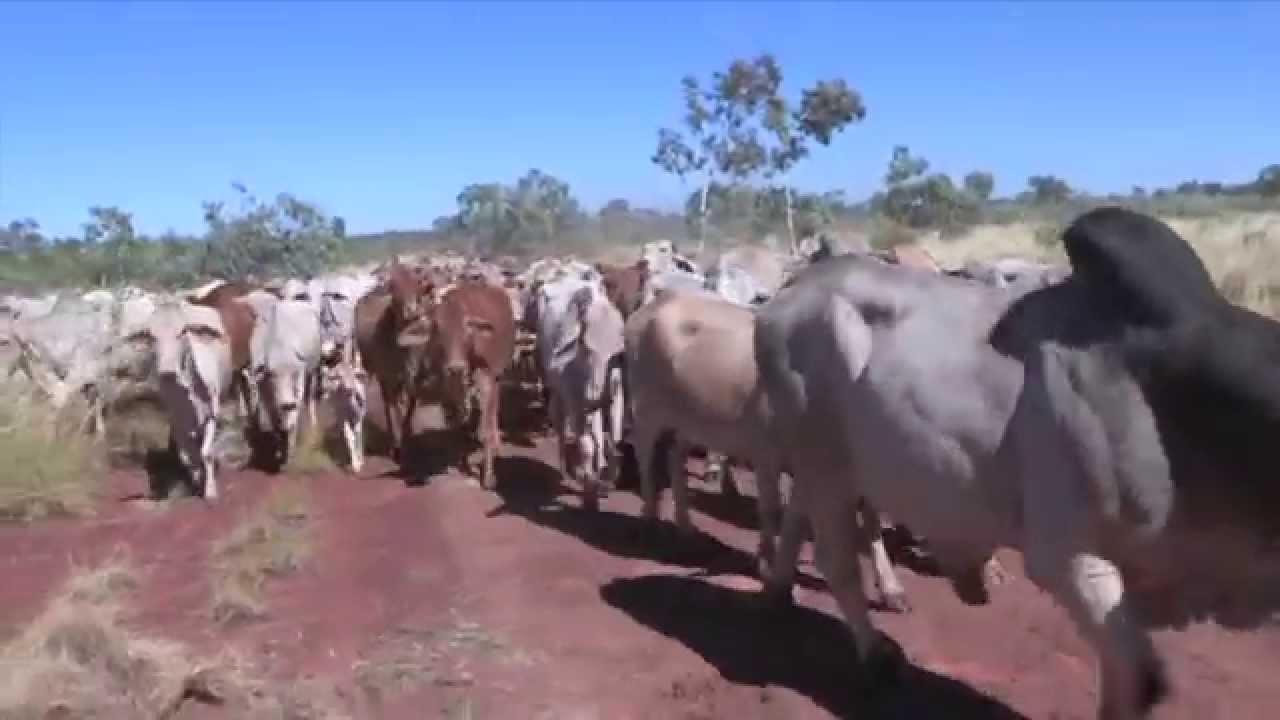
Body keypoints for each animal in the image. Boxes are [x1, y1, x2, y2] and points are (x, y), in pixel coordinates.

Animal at [533, 272, 625, 509]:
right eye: (585, 344)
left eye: (618, 352)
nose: (595, 394)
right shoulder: (575, 401)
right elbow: (586, 445)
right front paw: (589, 489)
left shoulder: (617, 395)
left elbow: (614, 439)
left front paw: (605, 480)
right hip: (559, 394)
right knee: (560, 424)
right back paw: (565, 469)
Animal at [754, 206, 1280, 719]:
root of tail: (785, 296)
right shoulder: (1067, 557)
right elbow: (1140, 680)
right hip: (825, 460)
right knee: (837, 560)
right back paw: (875, 656)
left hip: (828, 462)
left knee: (801, 514)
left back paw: (780, 591)